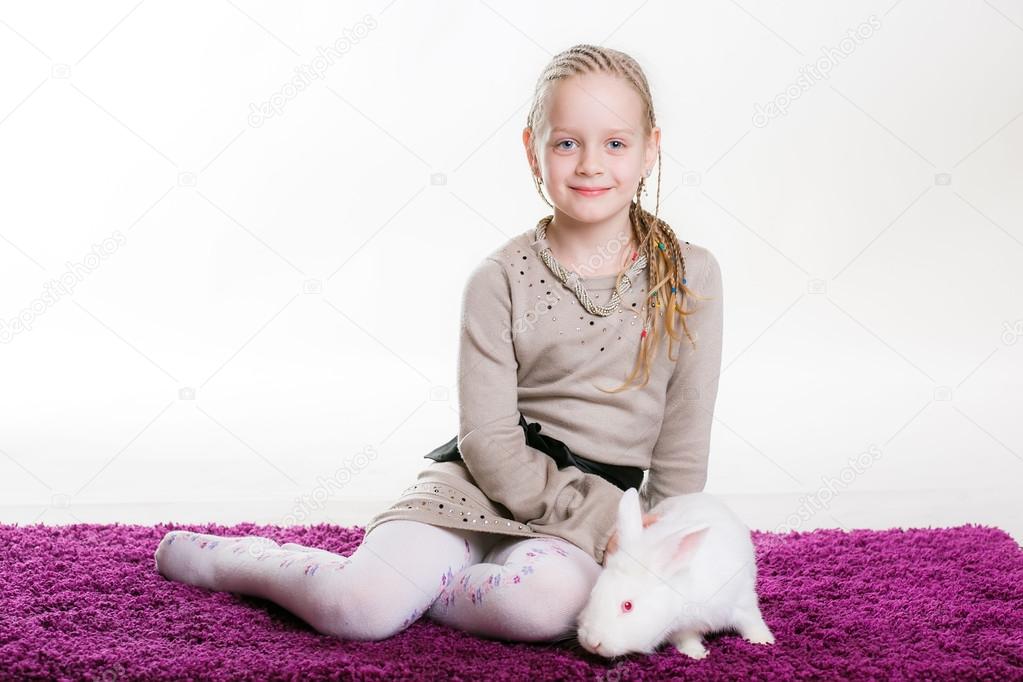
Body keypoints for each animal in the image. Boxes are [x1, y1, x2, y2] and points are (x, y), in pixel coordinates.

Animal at [575, 487, 774, 660]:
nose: (592, 642)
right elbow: (688, 639)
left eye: (627, 605)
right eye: (593, 593)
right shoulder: (682, 629)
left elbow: (752, 620)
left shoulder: (742, 599)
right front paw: (696, 653)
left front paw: (762, 640)